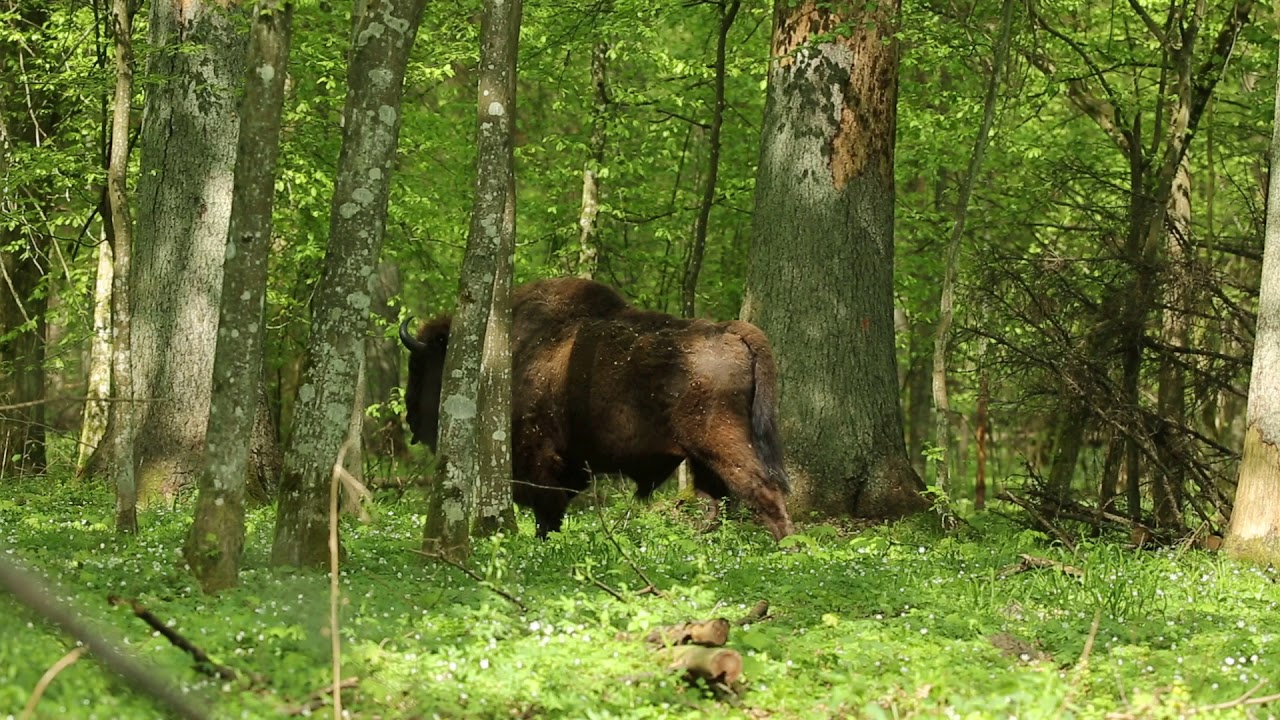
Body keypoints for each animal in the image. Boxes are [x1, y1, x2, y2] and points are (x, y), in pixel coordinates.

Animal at [400, 277, 794, 540]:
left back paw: (786, 547)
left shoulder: (538, 455)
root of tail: (729, 330)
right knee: (717, 499)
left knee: (760, 489)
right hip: (703, 457)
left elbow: (546, 505)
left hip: (722, 444)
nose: (411, 420)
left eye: (421, 366)